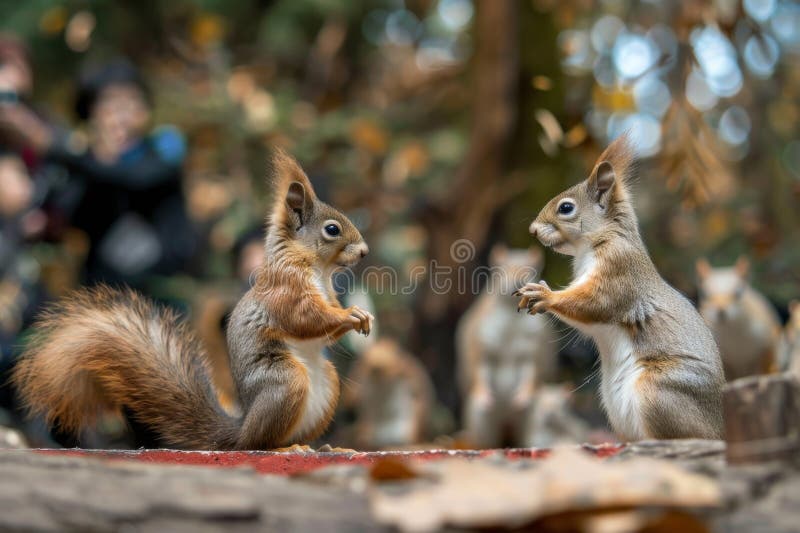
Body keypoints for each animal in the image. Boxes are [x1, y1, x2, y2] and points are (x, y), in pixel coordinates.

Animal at [12, 150, 374, 450]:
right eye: (332, 229)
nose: (365, 251)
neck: (318, 269)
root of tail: (241, 428)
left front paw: (360, 315)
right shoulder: (286, 290)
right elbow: (305, 317)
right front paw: (349, 316)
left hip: (326, 381)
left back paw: (326, 447)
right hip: (286, 384)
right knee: (261, 443)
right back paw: (286, 448)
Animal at [456, 244, 558, 448]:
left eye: (532, 269)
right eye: (501, 269)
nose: (517, 281)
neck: (512, 316)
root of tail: (507, 427)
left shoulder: (535, 344)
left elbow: (532, 368)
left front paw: (523, 396)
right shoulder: (481, 337)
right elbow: (479, 365)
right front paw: (483, 394)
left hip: (533, 422)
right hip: (481, 422)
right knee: (487, 442)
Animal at [515, 134, 725, 441]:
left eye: (566, 208)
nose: (532, 229)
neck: (597, 242)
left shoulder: (618, 270)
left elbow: (596, 303)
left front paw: (544, 295)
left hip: (658, 393)